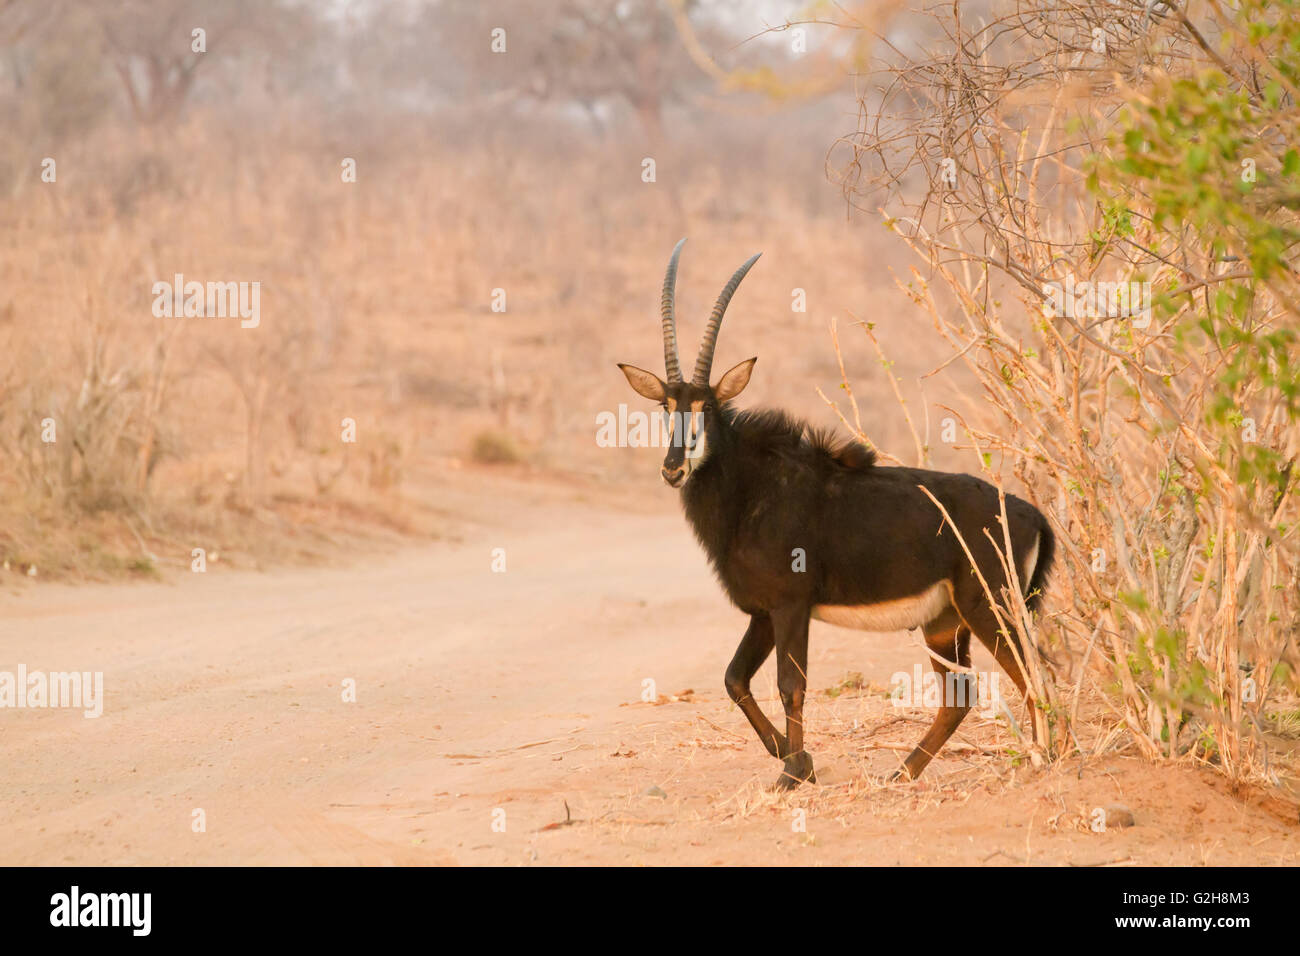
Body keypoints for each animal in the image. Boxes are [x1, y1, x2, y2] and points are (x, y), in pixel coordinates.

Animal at [617, 239, 1055, 789]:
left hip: (990, 607)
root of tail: (1031, 514)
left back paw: (1046, 757)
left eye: (707, 408)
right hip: (944, 623)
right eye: (665, 408)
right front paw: (789, 756)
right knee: (960, 696)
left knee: (1033, 672)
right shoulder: (763, 611)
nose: (674, 468)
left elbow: (790, 684)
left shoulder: (790, 605)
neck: (750, 488)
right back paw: (903, 772)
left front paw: (793, 771)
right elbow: (734, 678)